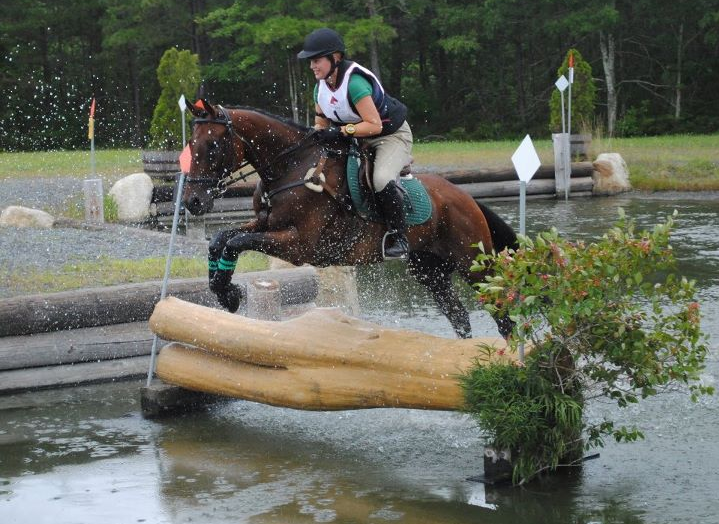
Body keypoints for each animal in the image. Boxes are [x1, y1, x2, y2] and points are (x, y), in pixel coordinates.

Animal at [182, 100, 517, 339]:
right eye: (190, 145)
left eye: (212, 146)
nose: (192, 202)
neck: (291, 167)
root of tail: (467, 198)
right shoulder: (266, 226)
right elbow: (222, 239)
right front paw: (224, 291)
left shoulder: (299, 245)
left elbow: (237, 241)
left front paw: (229, 294)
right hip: (429, 269)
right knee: (459, 316)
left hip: (473, 264)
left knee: (502, 314)